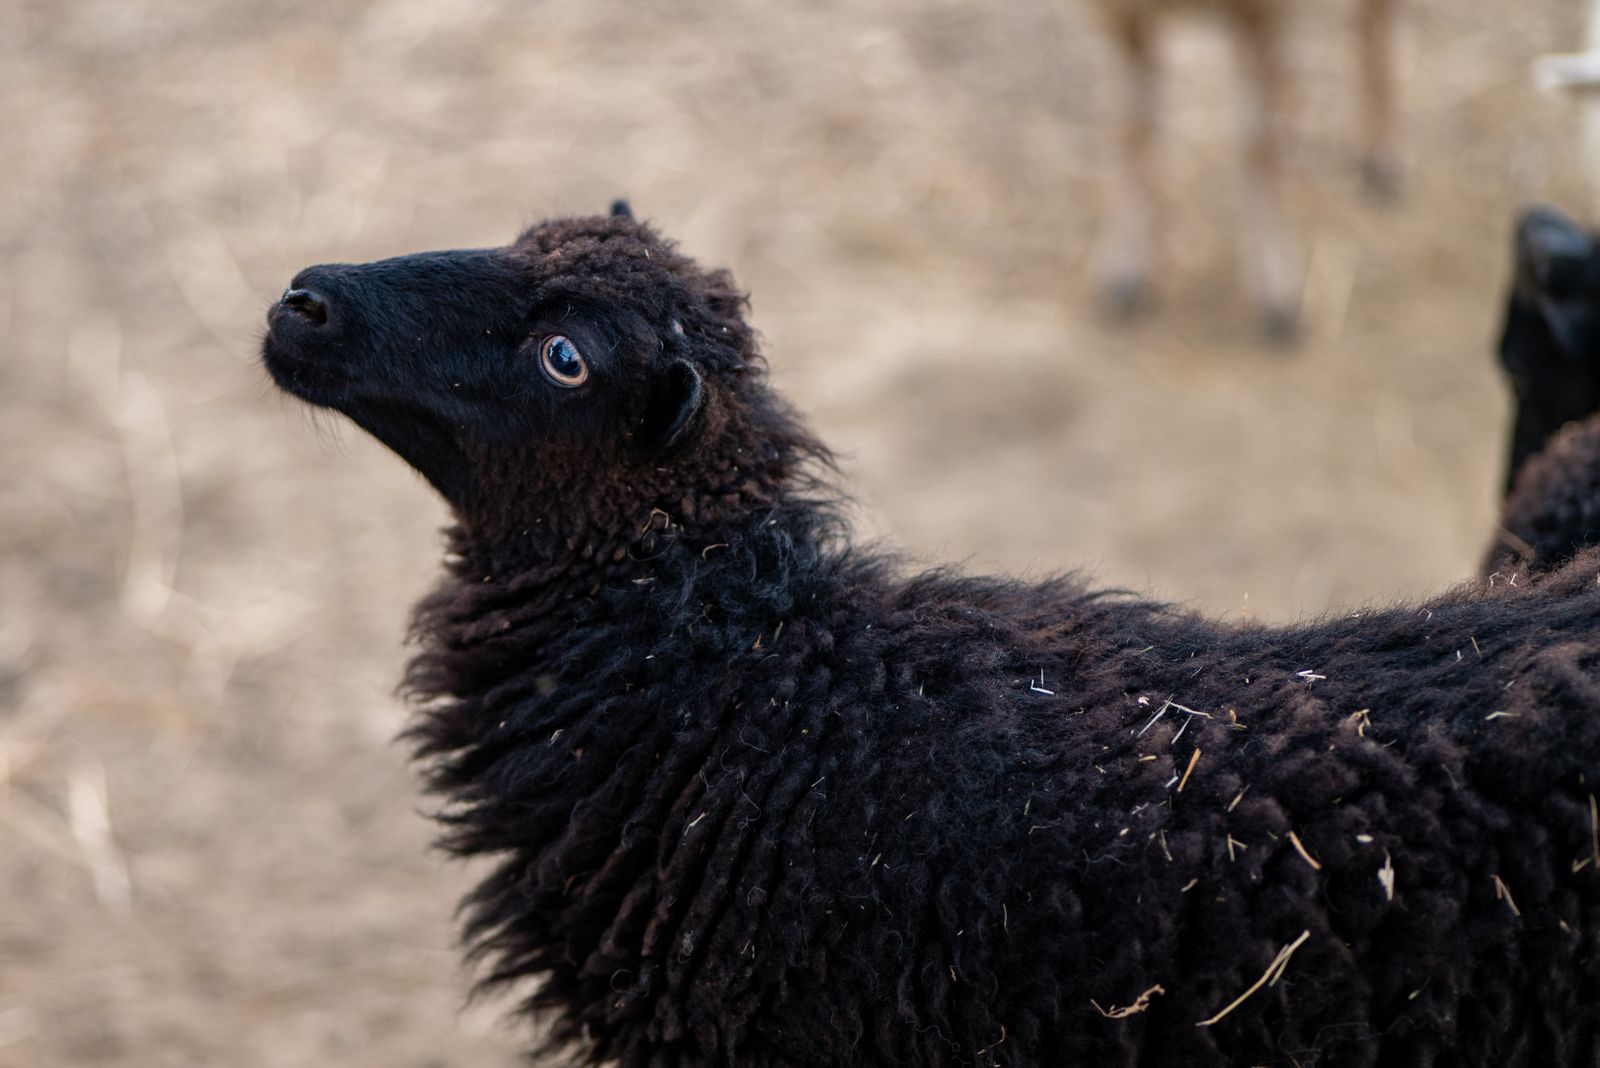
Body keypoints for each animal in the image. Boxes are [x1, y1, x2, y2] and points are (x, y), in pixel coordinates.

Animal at [1091, 0, 1401, 341]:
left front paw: (1278, 293)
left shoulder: (1259, 13)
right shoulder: (1120, 16)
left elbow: (1256, 146)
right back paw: (1292, 115)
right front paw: (1128, 272)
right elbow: (1132, 128)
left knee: (1375, 17)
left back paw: (1382, 157)